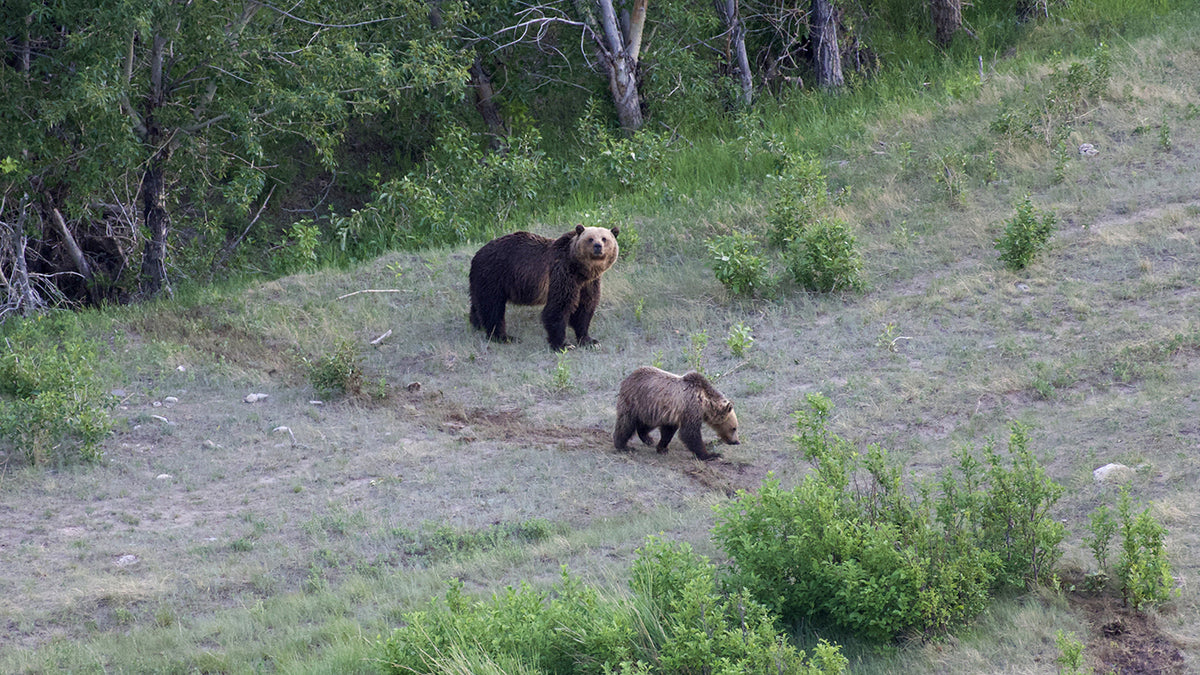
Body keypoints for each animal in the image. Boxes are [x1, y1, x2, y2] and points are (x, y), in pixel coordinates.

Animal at [468, 224, 619, 351]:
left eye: (604, 238)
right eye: (590, 238)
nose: (598, 246)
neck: (581, 271)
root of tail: (477, 254)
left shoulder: (588, 284)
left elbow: (585, 308)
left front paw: (590, 340)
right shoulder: (562, 273)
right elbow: (558, 308)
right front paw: (563, 344)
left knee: (478, 302)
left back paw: (477, 324)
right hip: (494, 274)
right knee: (493, 307)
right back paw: (504, 337)